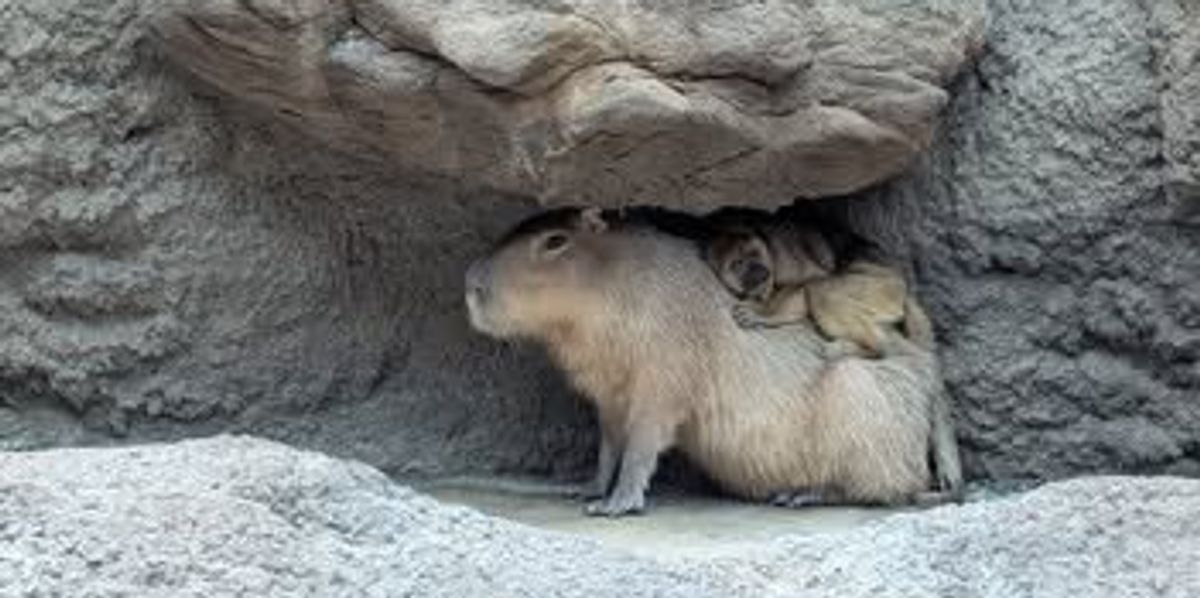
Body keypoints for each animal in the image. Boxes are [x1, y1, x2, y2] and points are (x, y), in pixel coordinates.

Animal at [465, 206, 962, 516]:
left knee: (891, 488)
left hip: (861, 401)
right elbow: (608, 443)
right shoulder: (608, 394)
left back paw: (802, 495)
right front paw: (586, 488)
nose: (471, 285)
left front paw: (617, 504)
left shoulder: (664, 374)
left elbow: (643, 442)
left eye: (555, 241)